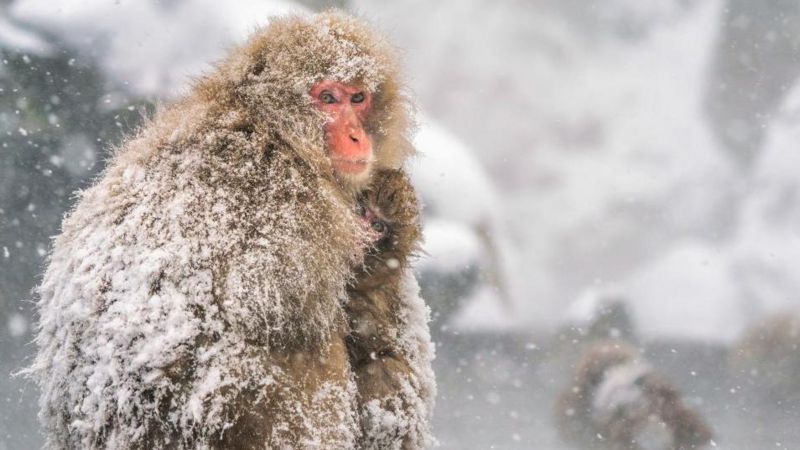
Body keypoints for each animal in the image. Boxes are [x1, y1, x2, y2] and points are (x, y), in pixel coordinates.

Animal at [344, 168, 435, 449]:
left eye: (377, 226)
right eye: (362, 210)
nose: (358, 232)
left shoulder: (377, 297)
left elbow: (373, 339)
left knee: (385, 369)